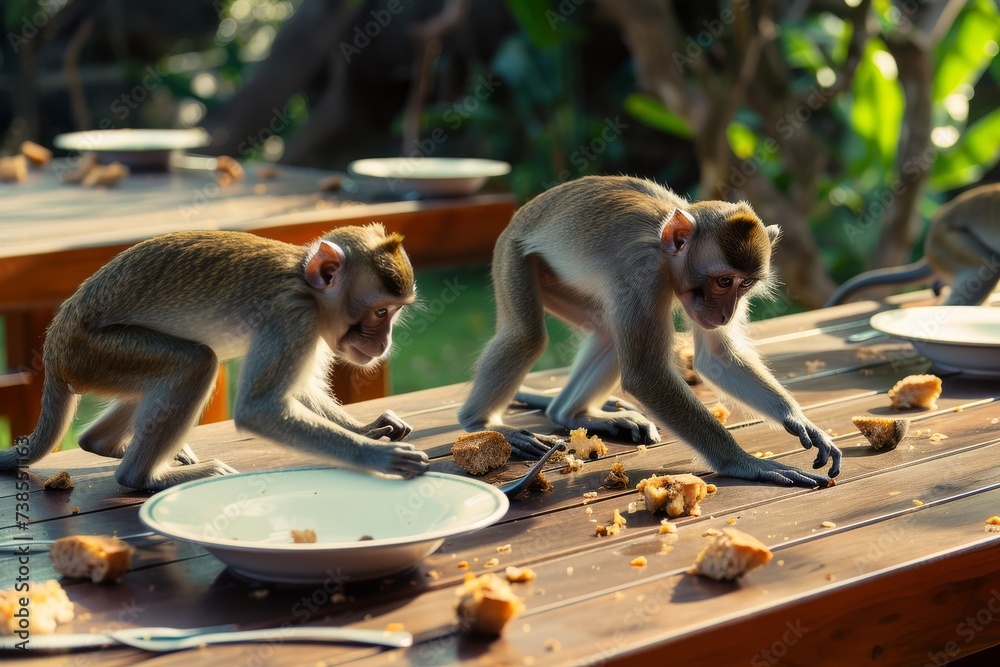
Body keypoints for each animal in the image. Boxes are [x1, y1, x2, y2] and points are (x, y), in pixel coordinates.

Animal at [0, 225, 429, 491]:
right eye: (380, 312)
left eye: (394, 313)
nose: (384, 343)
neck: (305, 285)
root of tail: (54, 346)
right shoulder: (294, 317)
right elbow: (260, 408)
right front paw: (379, 456)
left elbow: (298, 391)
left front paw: (368, 428)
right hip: (91, 353)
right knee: (197, 362)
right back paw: (143, 477)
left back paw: (104, 443)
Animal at [459, 175, 840, 488]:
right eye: (723, 281)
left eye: (744, 284)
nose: (726, 313)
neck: (665, 250)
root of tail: (521, 215)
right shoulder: (644, 274)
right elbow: (646, 375)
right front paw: (744, 463)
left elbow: (717, 357)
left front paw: (797, 419)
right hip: (513, 255)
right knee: (527, 335)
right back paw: (480, 422)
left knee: (607, 332)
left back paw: (569, 413)